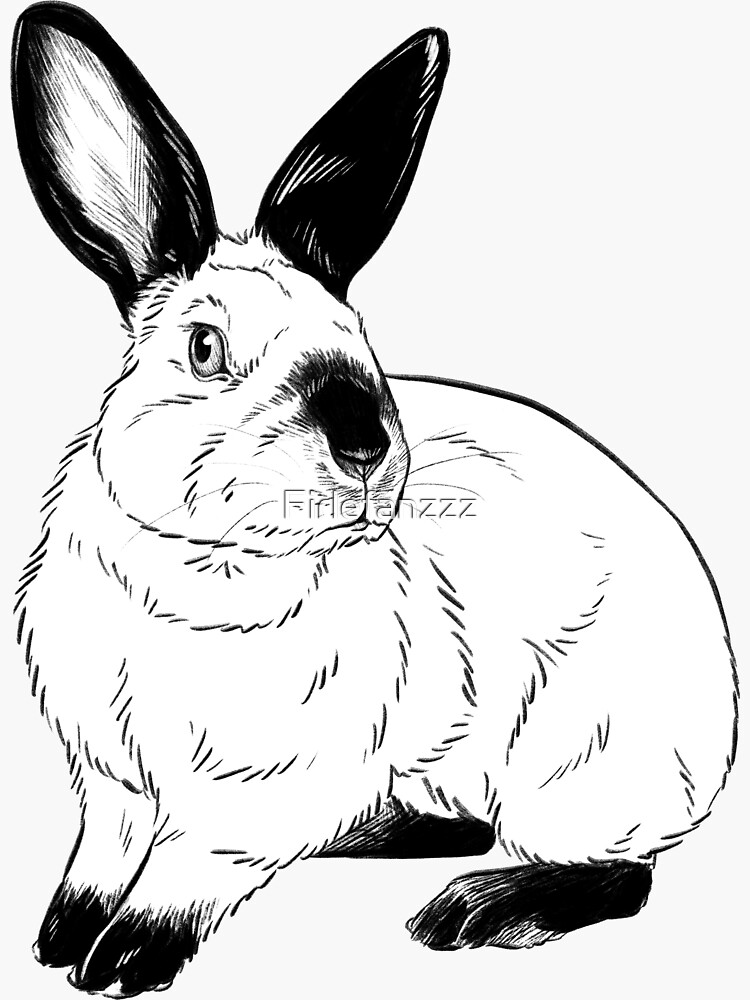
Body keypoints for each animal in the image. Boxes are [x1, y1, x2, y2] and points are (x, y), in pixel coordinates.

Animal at [12, 2, 738, 996]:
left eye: (359, 338)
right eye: (204, 349)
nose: (363, 445)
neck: (204, 574)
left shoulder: (257, 796)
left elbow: (187, 871)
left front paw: (122, 959)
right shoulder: (113, 781)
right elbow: (103, 854)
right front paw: (59, 937)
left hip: (576, 769)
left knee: (618, 873)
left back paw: (474, 912)